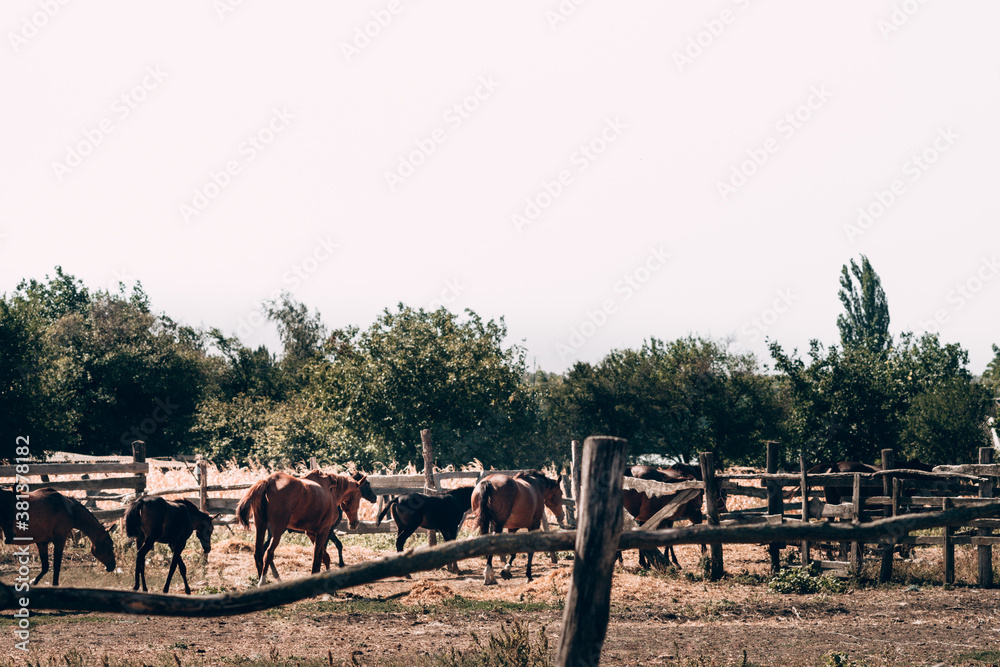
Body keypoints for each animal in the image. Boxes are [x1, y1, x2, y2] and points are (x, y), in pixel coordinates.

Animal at [236, 470, 367, 586]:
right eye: (360, 495)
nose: (355, 523)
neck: (331, 492)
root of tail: (268, 481)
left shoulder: (311, 533)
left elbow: (325, 556)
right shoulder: (324, 531)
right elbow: (317, 559)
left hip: (261, 525)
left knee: (258, 552)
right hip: (277, 530)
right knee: (268, 553)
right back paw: (263, 582)